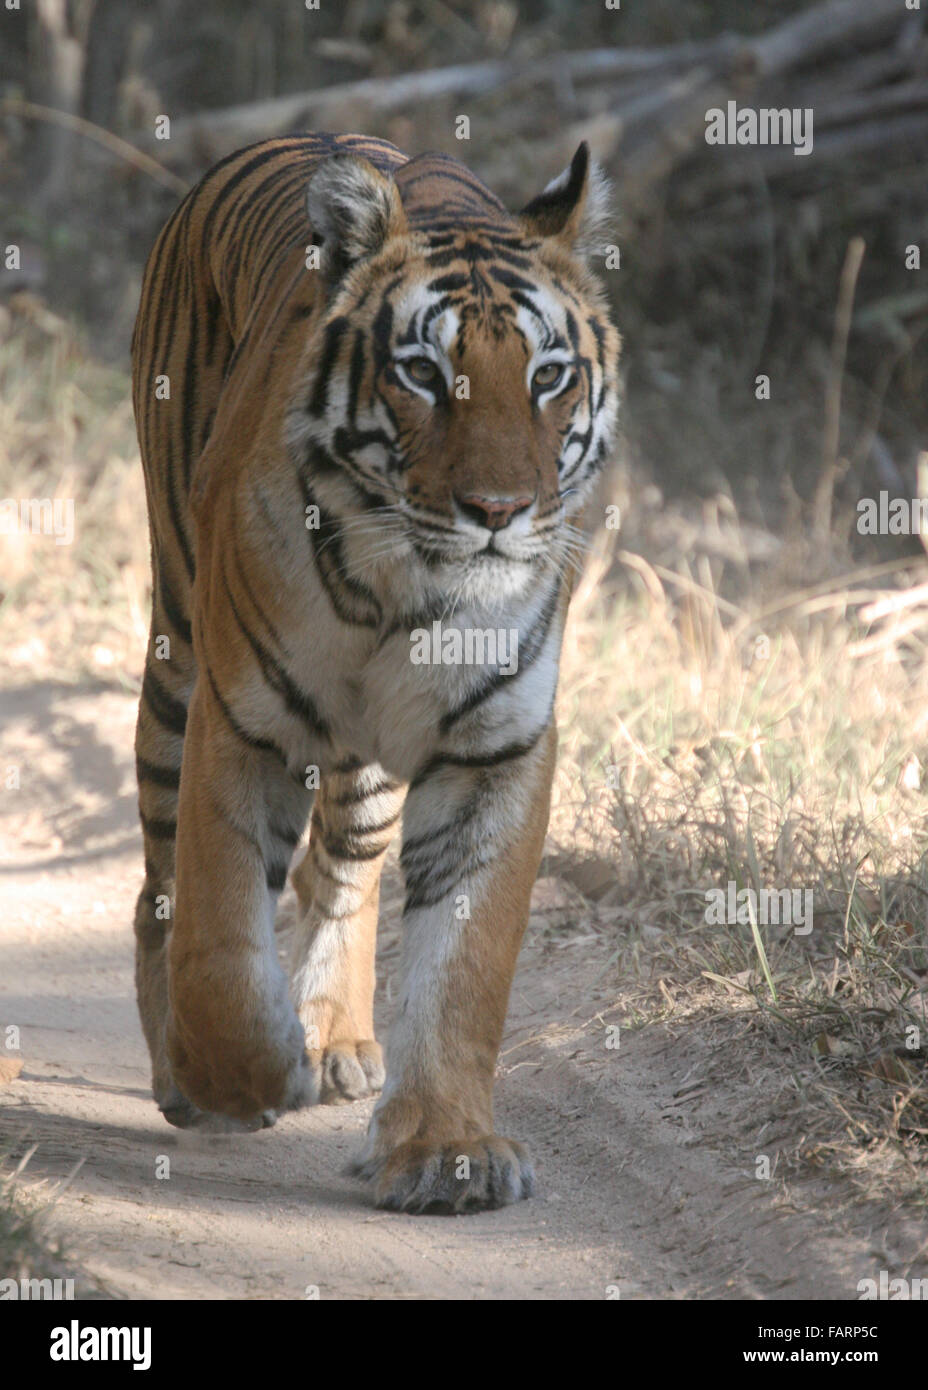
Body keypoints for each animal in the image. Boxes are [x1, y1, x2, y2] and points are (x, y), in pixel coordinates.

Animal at [131, 132, 620, 1213]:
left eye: (549, 376)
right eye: (424, 373)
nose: (499, 509)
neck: (405, 594)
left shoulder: (492, 750)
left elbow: (465, 966)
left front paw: (446, 1148)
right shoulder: (242, 720)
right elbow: (219, 940)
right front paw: (243, 1077)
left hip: (366, 759)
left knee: (343, 865)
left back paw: (334, 1034)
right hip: (176, 651)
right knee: (158, 886)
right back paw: (183, 1065)